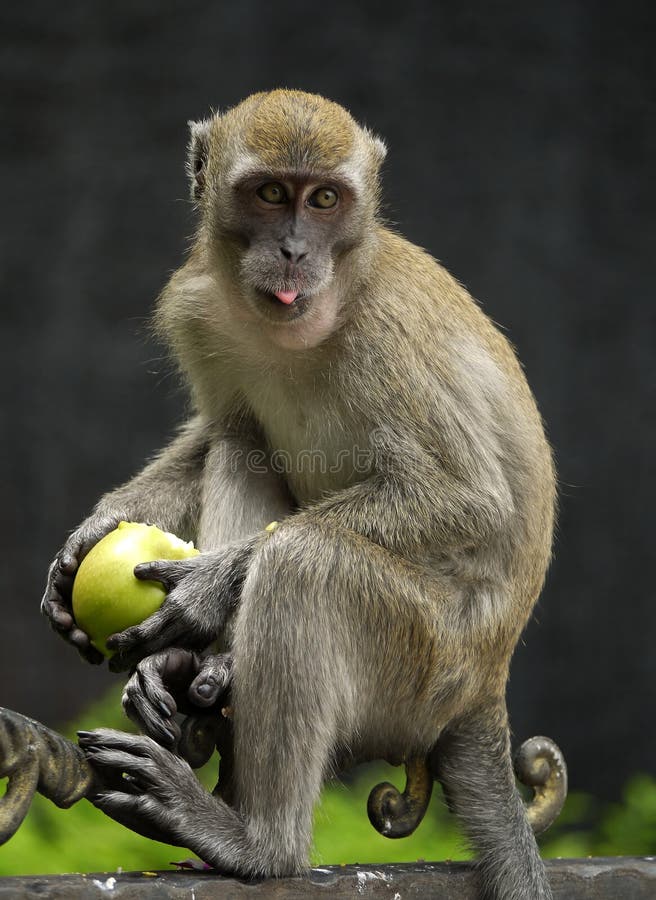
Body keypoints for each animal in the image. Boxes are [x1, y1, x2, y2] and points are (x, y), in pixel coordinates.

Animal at [41, 90, 558, 899]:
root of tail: (486, 687)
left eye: (323, 201)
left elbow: (468, 500)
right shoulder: (198, 304)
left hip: (426, 663)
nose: (292, 251)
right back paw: (202, 676)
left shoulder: (387, 335)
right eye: (270, 194)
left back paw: (256, 843)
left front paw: (213, 581)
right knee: (241, 448)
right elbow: (220, 430)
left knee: (305, 564)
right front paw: (93, 533)